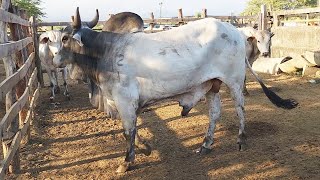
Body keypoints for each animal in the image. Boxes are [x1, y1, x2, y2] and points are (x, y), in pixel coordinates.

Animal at [53, 8, 298, 173]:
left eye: (65, 38)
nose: (55, 60)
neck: (104, 52)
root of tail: (233, 30)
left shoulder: (124, 100)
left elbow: (128, 131)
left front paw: (126, 162)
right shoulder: (126, 103)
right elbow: (133, 129)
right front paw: (145, 148)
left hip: (235, 80)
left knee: (240, 109)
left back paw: (240, 140)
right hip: (212, 85)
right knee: (214, 114)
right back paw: (205, 145)